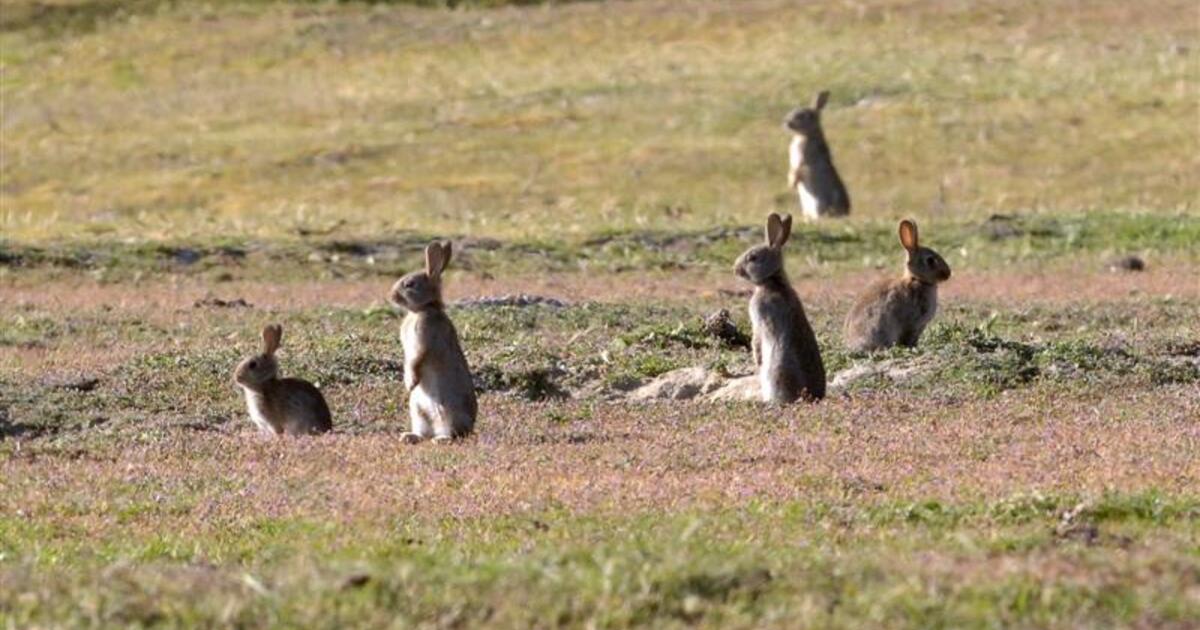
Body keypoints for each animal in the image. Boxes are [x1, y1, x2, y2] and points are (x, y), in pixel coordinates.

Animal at [389, 240, 477, 444]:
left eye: (410, 284)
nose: (391, 296)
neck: (423, 309)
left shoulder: (424, 341)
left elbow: (416, 360)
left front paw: (411, 383)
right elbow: (407, 361)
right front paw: (408, 383)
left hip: (449, 412)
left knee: (454, 434)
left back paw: (441, 440)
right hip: (418, 412)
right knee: (423, 433)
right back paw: (408, 437)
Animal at [734, 213, 827, 403]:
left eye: (753, 257)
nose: (735, 268)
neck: (772, 281)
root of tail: (812, 396)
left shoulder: (759, 319)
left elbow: (756, 340)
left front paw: (757, 359)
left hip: (777, 373)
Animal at [785, 90, 851, 220]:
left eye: (803, 116)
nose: (786, 122)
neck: (807, 135)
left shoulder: (804, 159)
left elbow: (798, 170)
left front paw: (792, 185)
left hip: (819, 203)